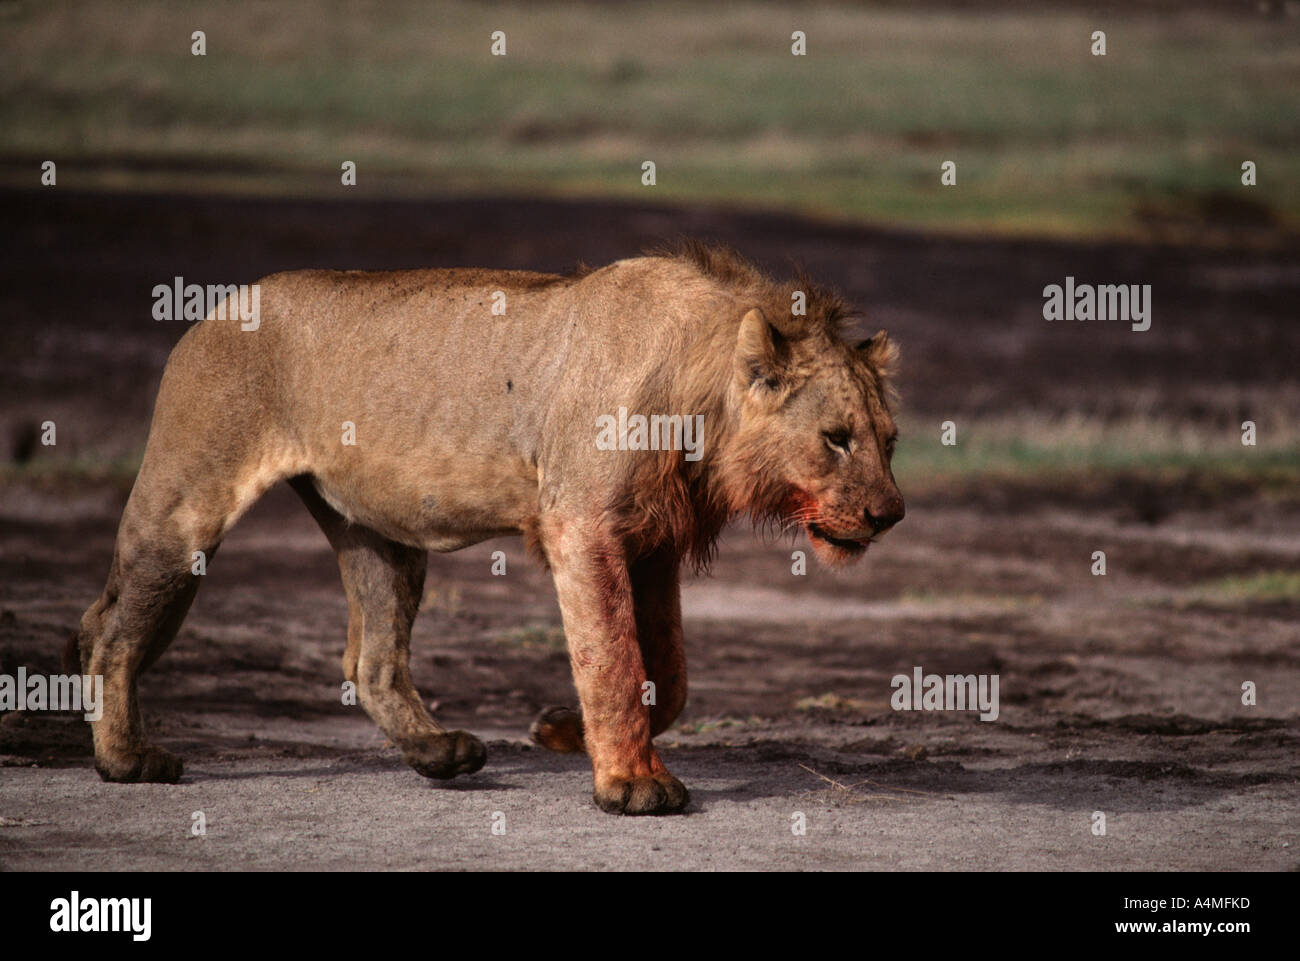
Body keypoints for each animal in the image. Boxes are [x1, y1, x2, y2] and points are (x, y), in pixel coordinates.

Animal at [72, 241, 903, 815]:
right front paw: (631, 785)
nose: (890, 514)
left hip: (380, 533)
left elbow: (667, 676)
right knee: (107, 629)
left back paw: (438, 752)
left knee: (371, 660)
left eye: (889, 441)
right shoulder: (581, 524)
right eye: (836, 438)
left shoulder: (654, 540)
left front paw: (564, 732)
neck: (699, 401)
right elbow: (613, 658)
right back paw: (126, 760)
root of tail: (213, 310)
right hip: (187, 506)